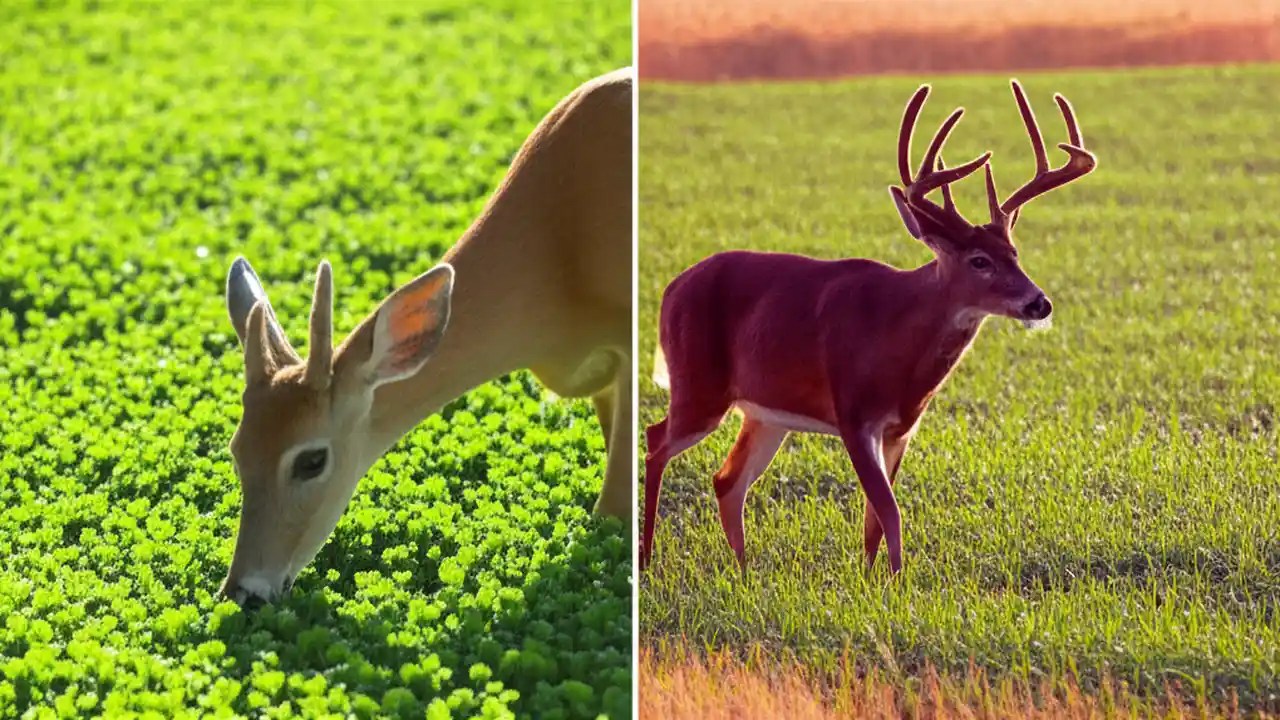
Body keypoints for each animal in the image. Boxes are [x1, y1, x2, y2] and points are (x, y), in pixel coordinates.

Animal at [640, 80, 1097, 574]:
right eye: (980, 261)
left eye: (1014, 253)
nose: (1039, 302)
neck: (896, 343)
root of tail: (671, 288)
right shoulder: (853, 411)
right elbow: (890, 512)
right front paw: (898, 584)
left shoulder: (901, 428)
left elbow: (875, 520)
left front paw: (875, 578)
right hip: (699, 384)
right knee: (656, 440)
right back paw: (646, 558)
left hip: (764, 412)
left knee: (727, 479)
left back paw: (743, 570)